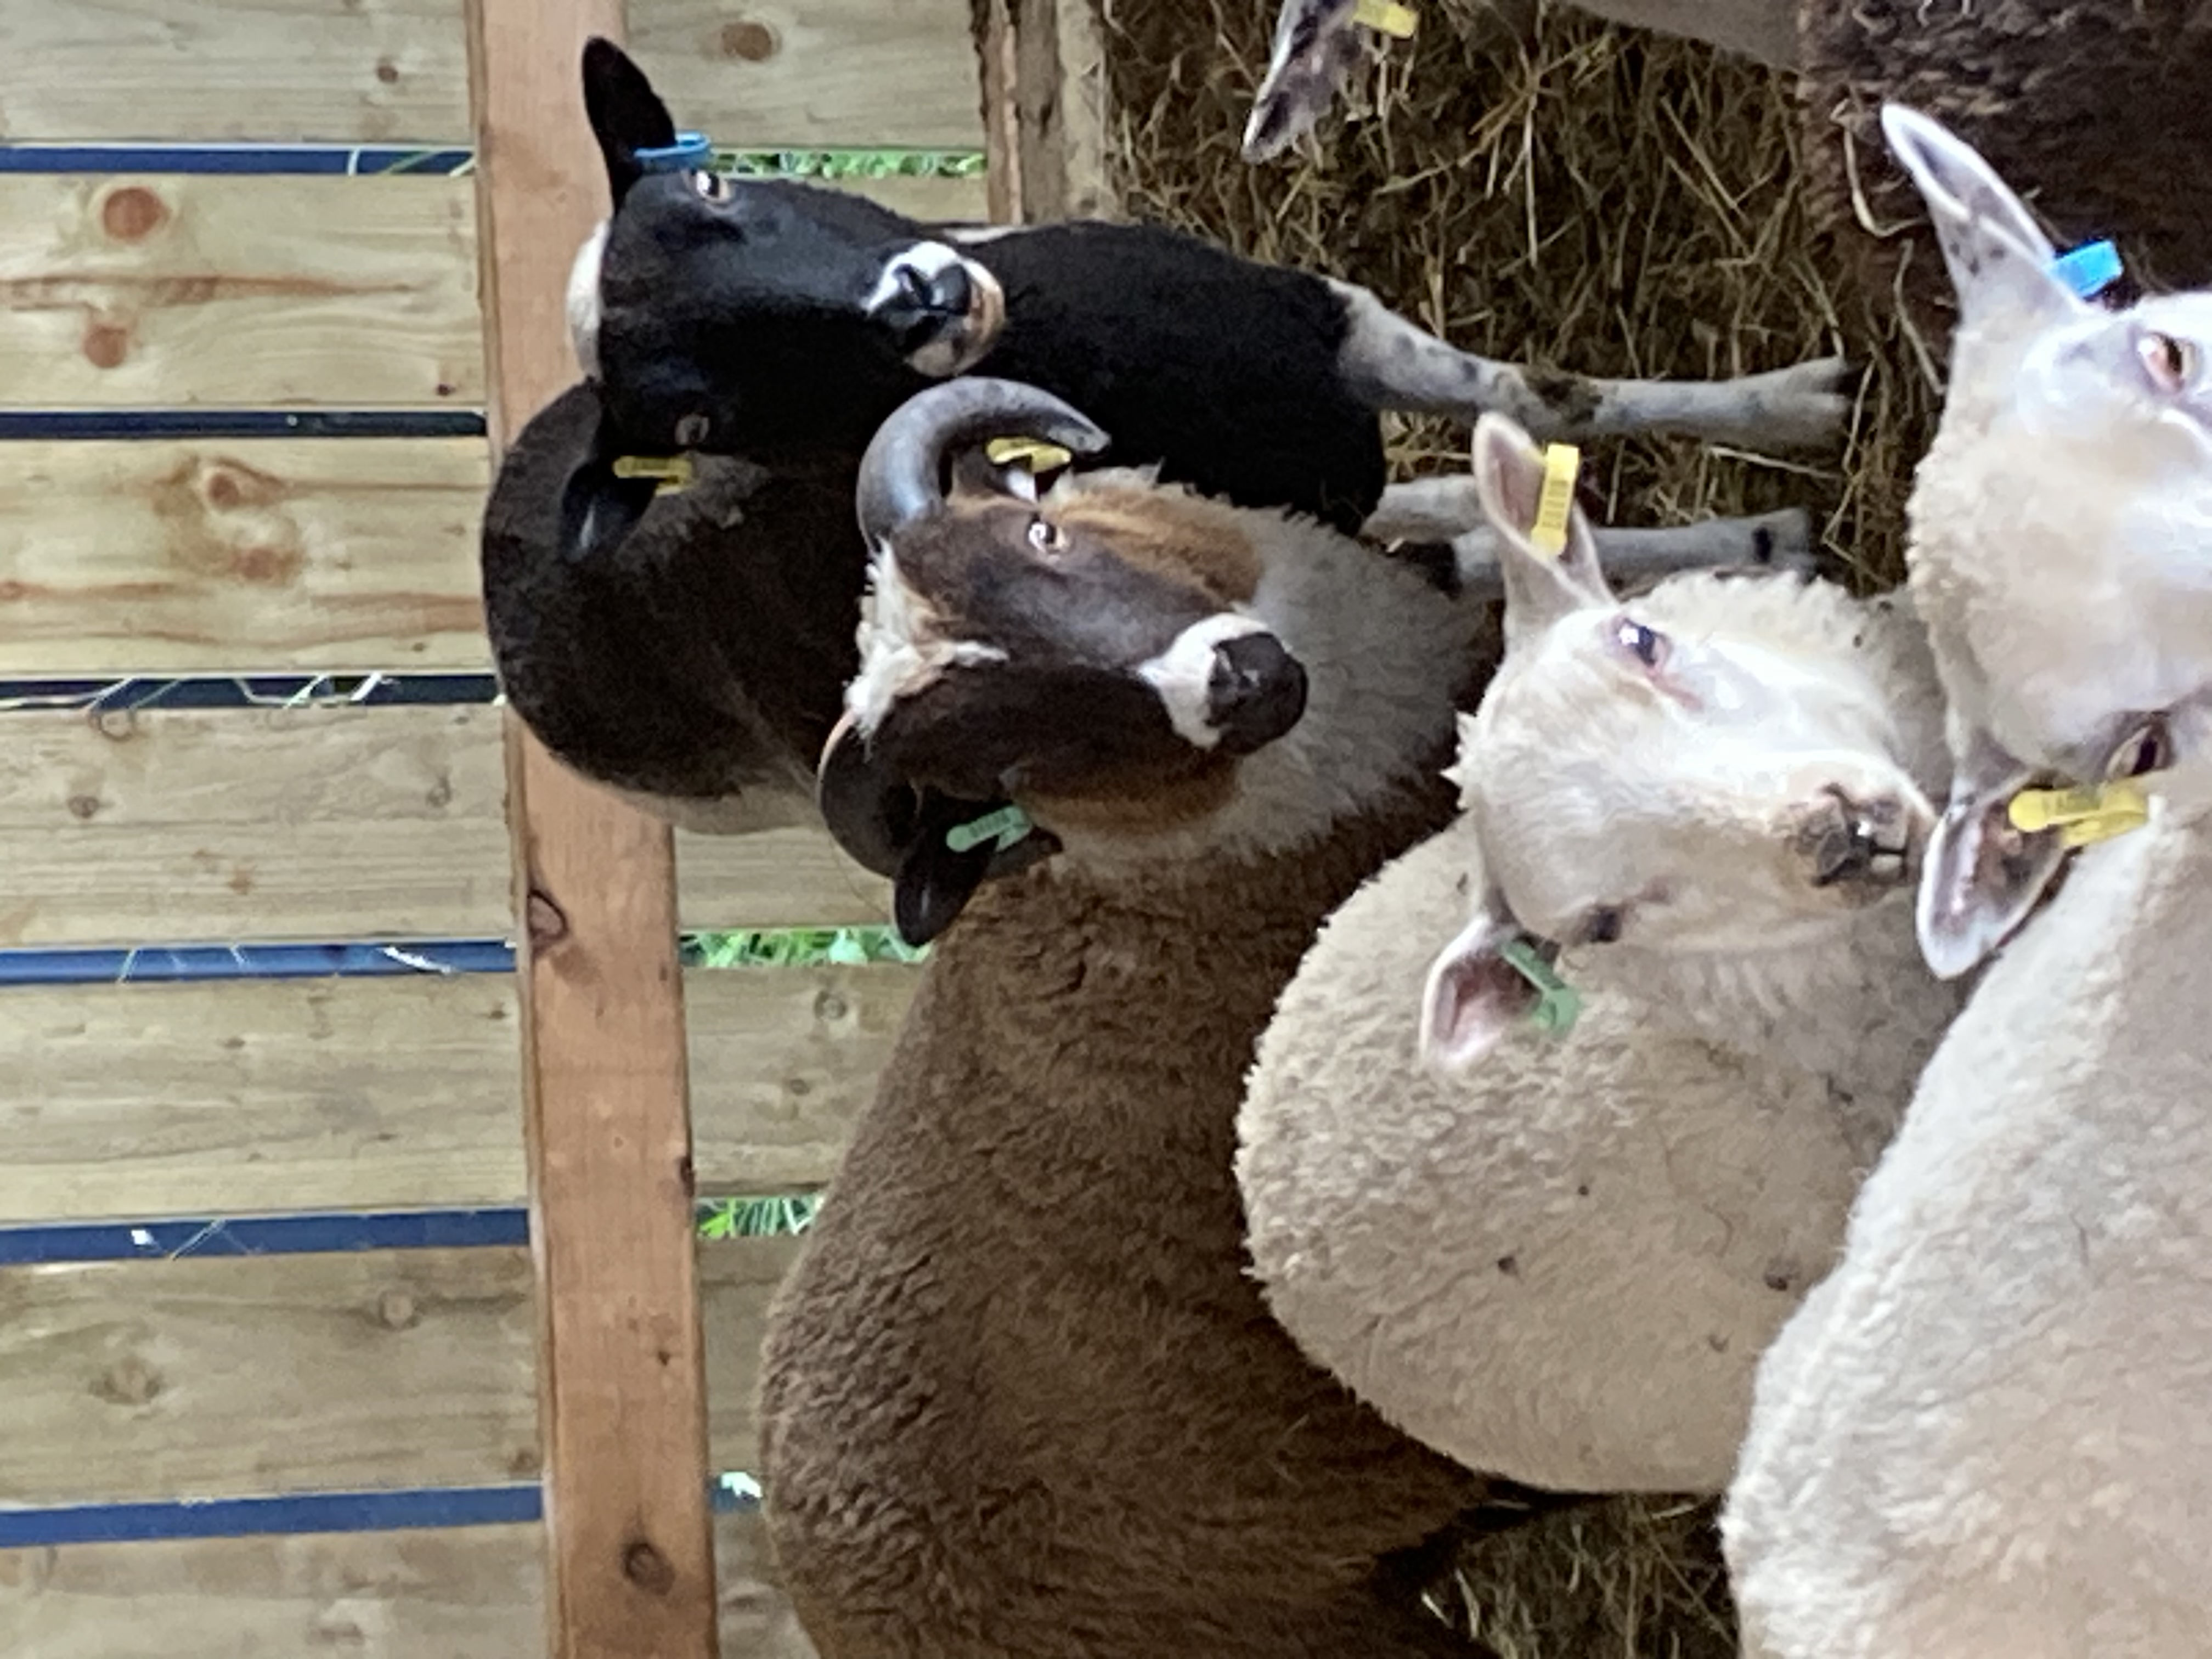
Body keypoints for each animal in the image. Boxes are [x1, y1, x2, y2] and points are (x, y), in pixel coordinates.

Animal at [481, 37, 1828, 837]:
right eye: (697, 414)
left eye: (714, 188)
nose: (916, 301)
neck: (1114, 364)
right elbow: (1504, 541)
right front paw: (1773, 546)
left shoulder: (1327, 328)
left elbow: (1555, 396)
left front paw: (1809, 406)